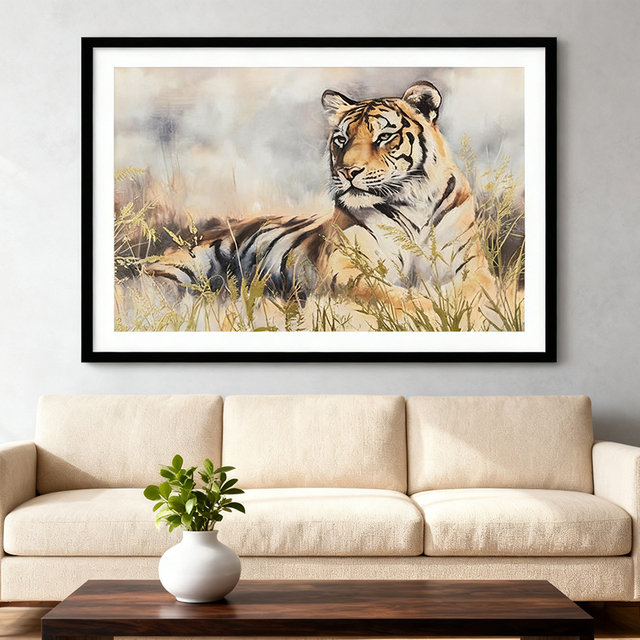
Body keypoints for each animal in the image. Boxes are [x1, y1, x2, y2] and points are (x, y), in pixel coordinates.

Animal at [140, 81, 494, 311]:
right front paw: (428, 306)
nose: (348, 171)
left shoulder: (473, 268)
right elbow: (391, 295)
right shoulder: (347, 266)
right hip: (185, 262)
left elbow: (471, 291)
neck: (411, 203)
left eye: (384, 136)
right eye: (341, 139)